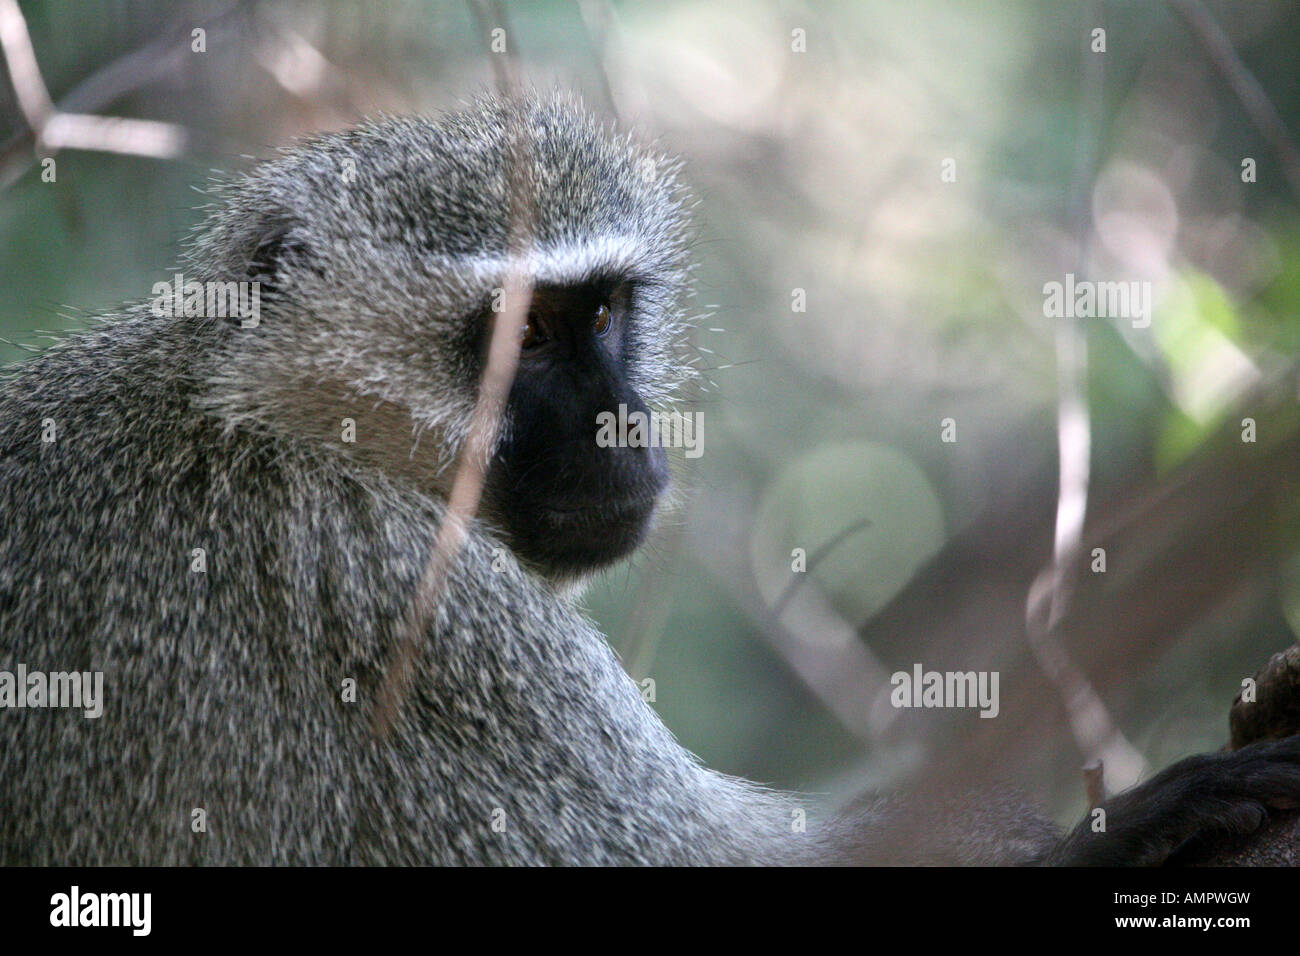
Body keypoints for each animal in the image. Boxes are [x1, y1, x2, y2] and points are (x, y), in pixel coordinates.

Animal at [2, 90, 1299, 866]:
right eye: (520, 337)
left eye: (600, 313)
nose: (625, 423)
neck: (279, 422)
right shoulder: (420, 614)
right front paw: (1120, 832)